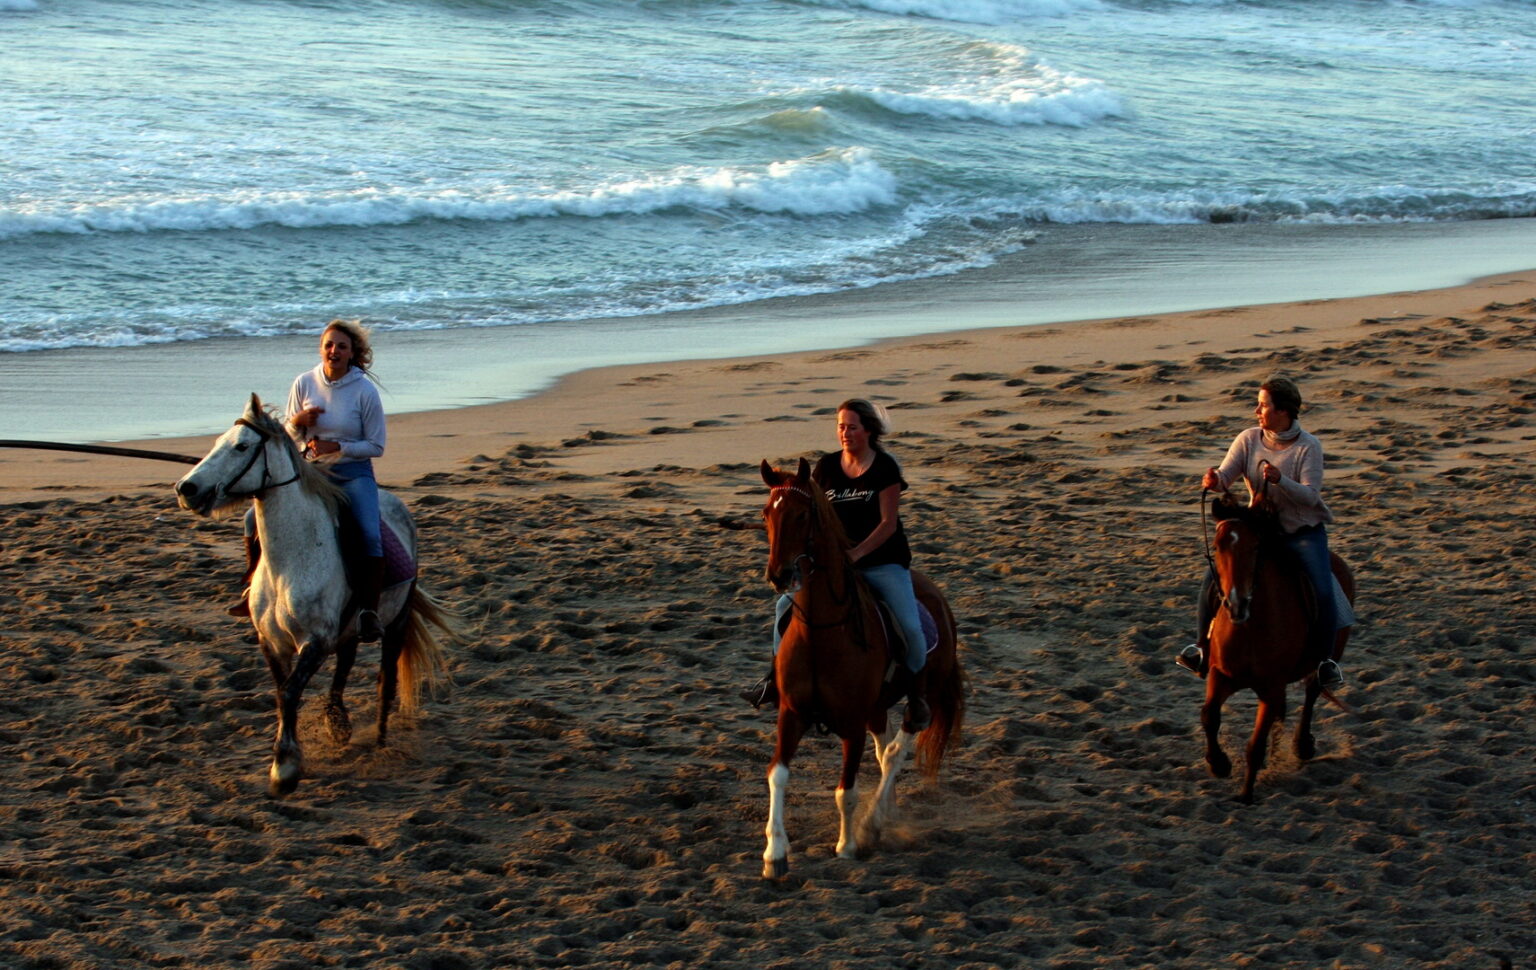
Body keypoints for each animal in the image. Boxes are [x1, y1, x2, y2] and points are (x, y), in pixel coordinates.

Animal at [175, 394, 454, 796]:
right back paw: (338, 722)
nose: (186, 489)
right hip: (351, 629)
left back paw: (380, 746)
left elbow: (291, 693)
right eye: (218, 442)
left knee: (385, 683)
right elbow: (283, 693)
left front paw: (285, 768)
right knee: (346, 664)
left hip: (396, 625)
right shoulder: (272, 642)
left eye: (241, 446)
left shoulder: (316, 640)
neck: (290, 561)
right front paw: (287, 759)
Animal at [757, 458, 964, 879]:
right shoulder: (791, 713)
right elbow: (778, 775)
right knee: (885, 751)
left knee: (900, 746)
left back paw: (872, 823)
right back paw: (886, 813)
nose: (779, 575)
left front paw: (848, 845)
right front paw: (775, 853)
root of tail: (937, 597)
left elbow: (846, 791)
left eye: (802, 515)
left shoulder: (851, 722)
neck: (820, 631)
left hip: (923, 695)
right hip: (876, 706)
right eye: (767, 514)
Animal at [1200, 493, 1355, 803]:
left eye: (1256, 546)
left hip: (1325, 659)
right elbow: (1210, 717)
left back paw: (1302, 745)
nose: (1236, 603)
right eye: (1218, 546)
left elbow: (1254, 746)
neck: (1248, 630)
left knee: (1312, 692)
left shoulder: (1270, 688)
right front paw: (1219, 764)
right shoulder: (1220, 675)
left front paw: (1246, 795)